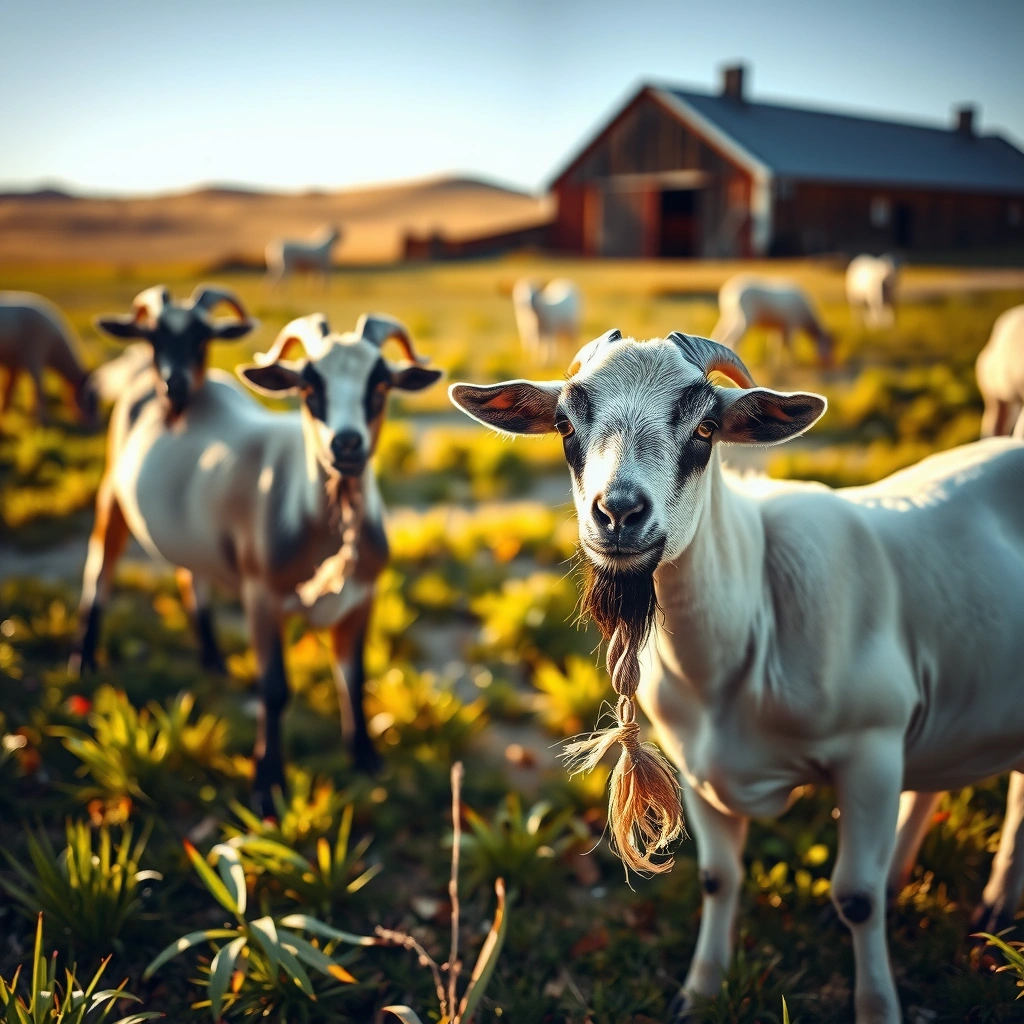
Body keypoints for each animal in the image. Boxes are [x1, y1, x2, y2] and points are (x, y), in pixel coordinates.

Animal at [0, 292, 98, 426]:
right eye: (89, 399)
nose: (96, 424)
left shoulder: (14, 365)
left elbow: (8, 389)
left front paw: (5, 415)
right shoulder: (34, 355)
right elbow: (39, 387)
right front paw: (41, 420)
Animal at [70, 283, 258, 678]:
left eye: (202, 337)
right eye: (154, 337)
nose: (176, 383)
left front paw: (215, 656)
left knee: (190, 576)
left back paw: (211, 656)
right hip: (112, 491)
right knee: (101, 564)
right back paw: (83, 656)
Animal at [450, 330, 1024, 1024]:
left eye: (704, 427)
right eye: (564, 424)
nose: (618, 513)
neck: (751, 617)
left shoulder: (871, 750)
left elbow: (855, 898)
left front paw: (877, 1006)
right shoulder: (698, 770)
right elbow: (717, 878)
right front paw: (698, 993)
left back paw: (996, 905)